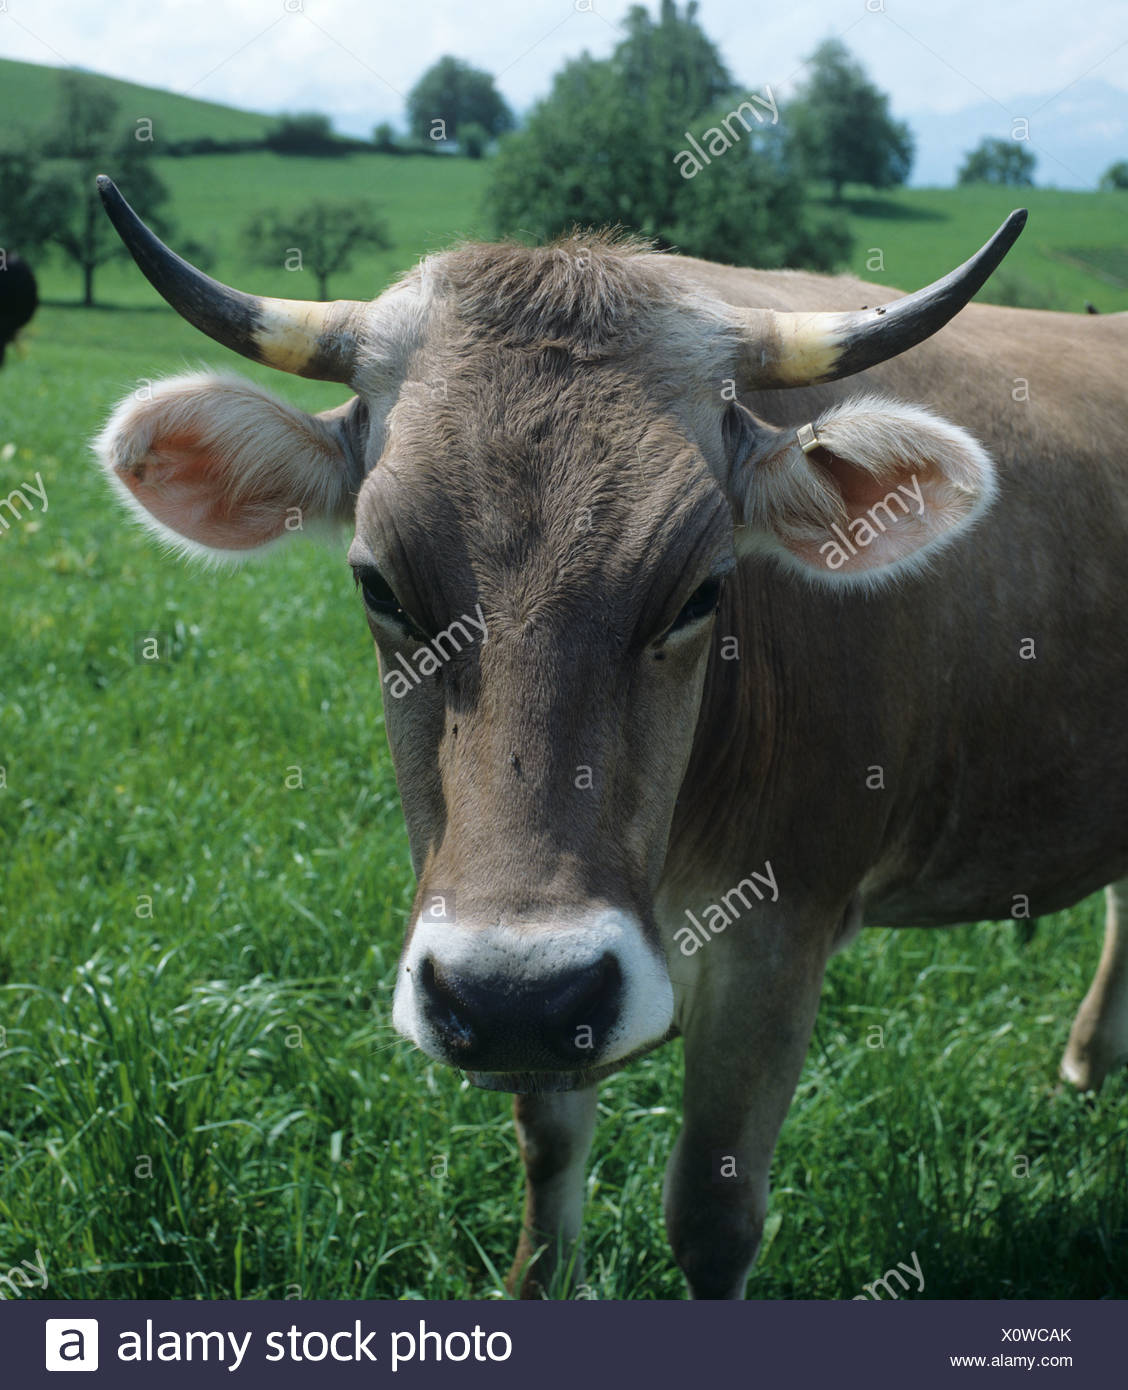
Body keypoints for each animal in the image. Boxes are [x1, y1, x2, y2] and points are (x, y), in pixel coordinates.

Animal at [92, 174, 1128, 1300]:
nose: (515, 991)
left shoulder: (782, 932)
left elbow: (712, 1213)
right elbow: (548, 1152)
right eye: (378, 584)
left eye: (704, 588)